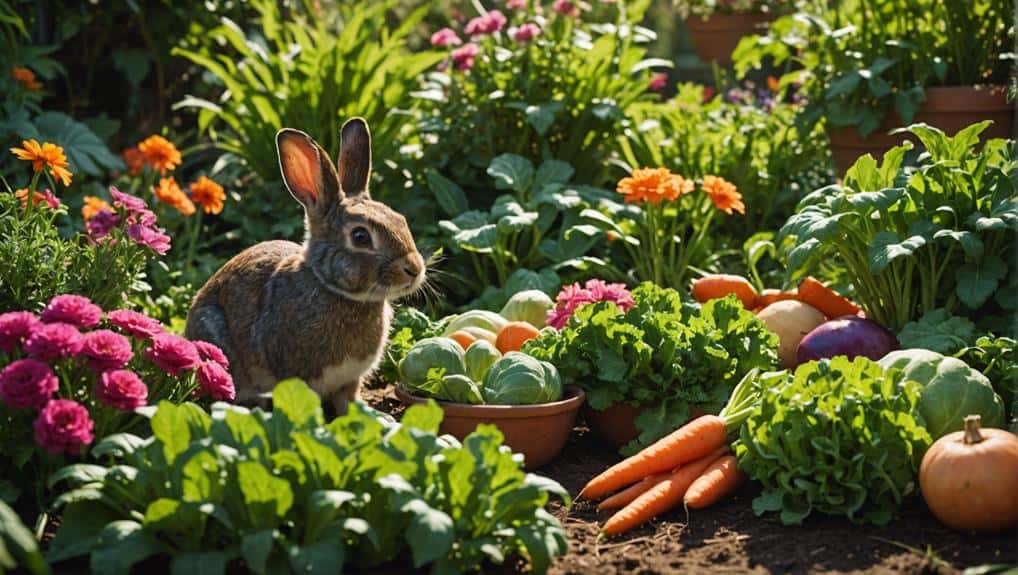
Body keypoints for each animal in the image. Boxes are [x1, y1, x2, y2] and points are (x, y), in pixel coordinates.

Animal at [185, 118, 425, 414]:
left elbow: (348, 401)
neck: (331, 288)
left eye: (400, 220)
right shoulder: (299, 373)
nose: (414, 269)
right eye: (360, 236)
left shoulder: (350, 380)